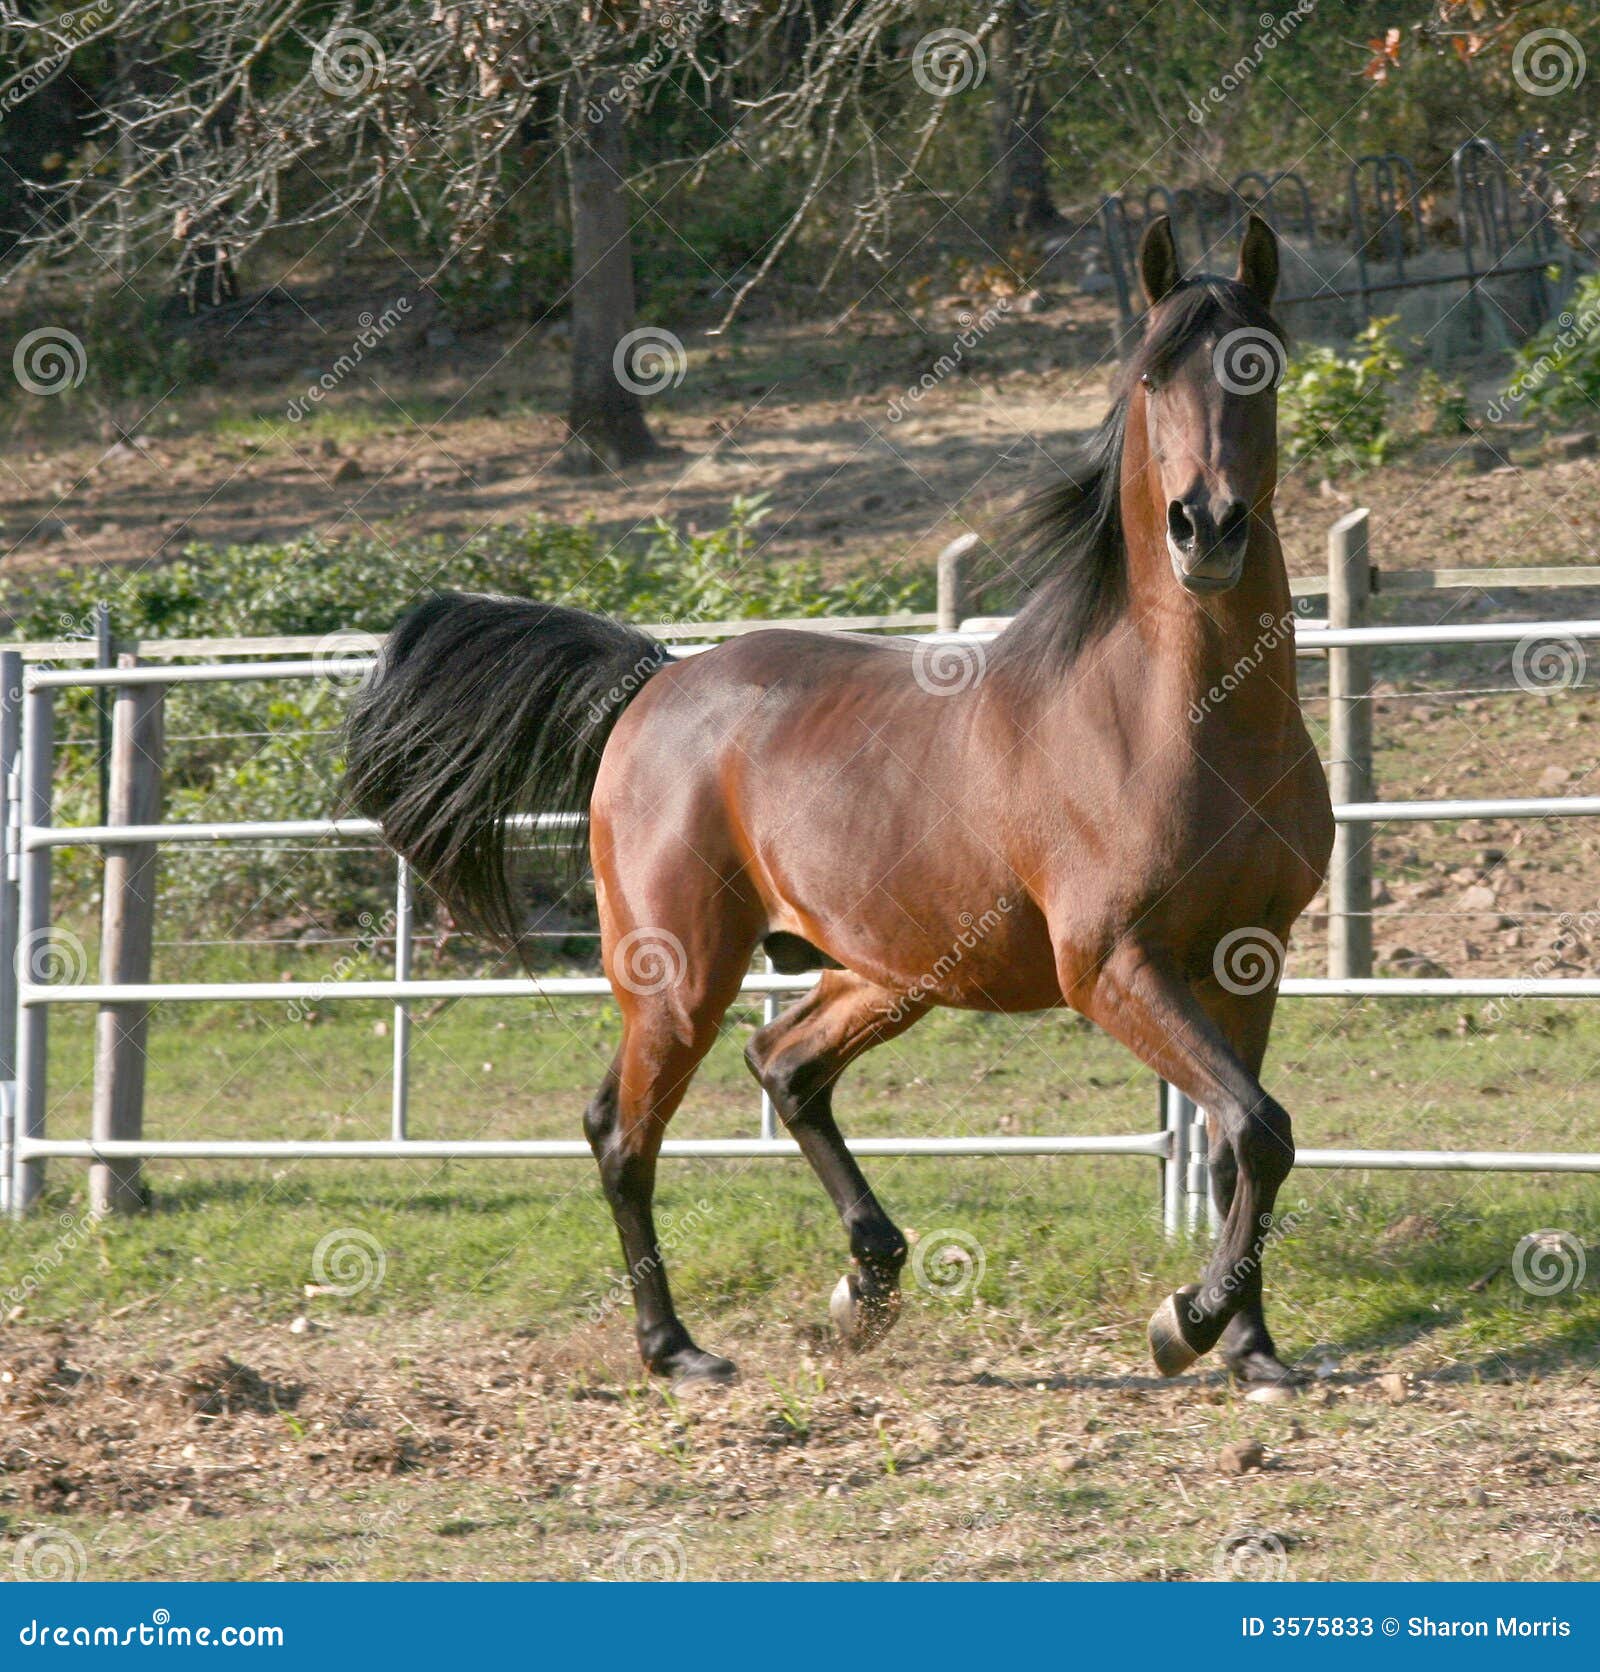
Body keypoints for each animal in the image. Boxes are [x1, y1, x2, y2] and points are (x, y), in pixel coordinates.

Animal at [343, 214, 1334, 1389]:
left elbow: (1243, 1146)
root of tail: (655, 680)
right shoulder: (1109, 964)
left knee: (784, 1065)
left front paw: (1256, 1352)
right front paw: (1184, 1324)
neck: (1181, 718)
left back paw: (868, 1283)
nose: (1205, 529)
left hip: (890, 969)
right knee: (624, 1130)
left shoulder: (1249, 957)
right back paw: (678, 1350)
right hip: (682, 974)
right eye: (1149, 377)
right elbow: (1257, 1127)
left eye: (1260, 368)